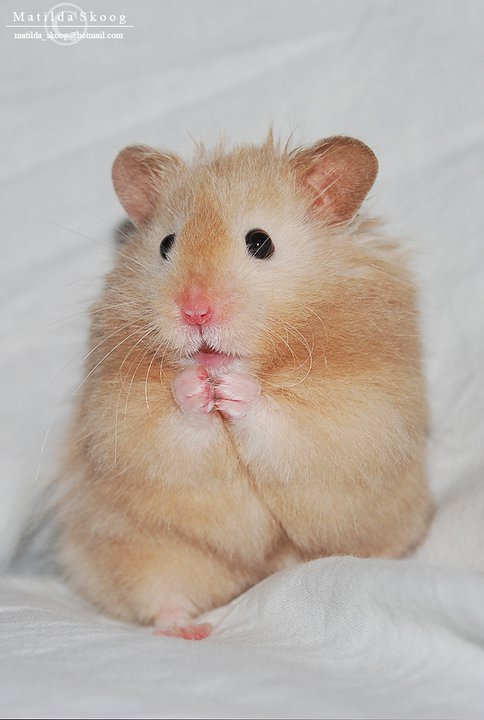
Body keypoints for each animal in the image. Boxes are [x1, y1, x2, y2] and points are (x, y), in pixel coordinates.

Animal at [60, 134, 432, 639]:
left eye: (261, 242)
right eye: (166, 244)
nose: (194, 311)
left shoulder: (359, 412)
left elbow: (292, 418)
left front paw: (235, 386)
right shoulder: (116, 416)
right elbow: (166, 431)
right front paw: (195, 386)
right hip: (142, 546)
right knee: (159, 592)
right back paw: (190, 631)